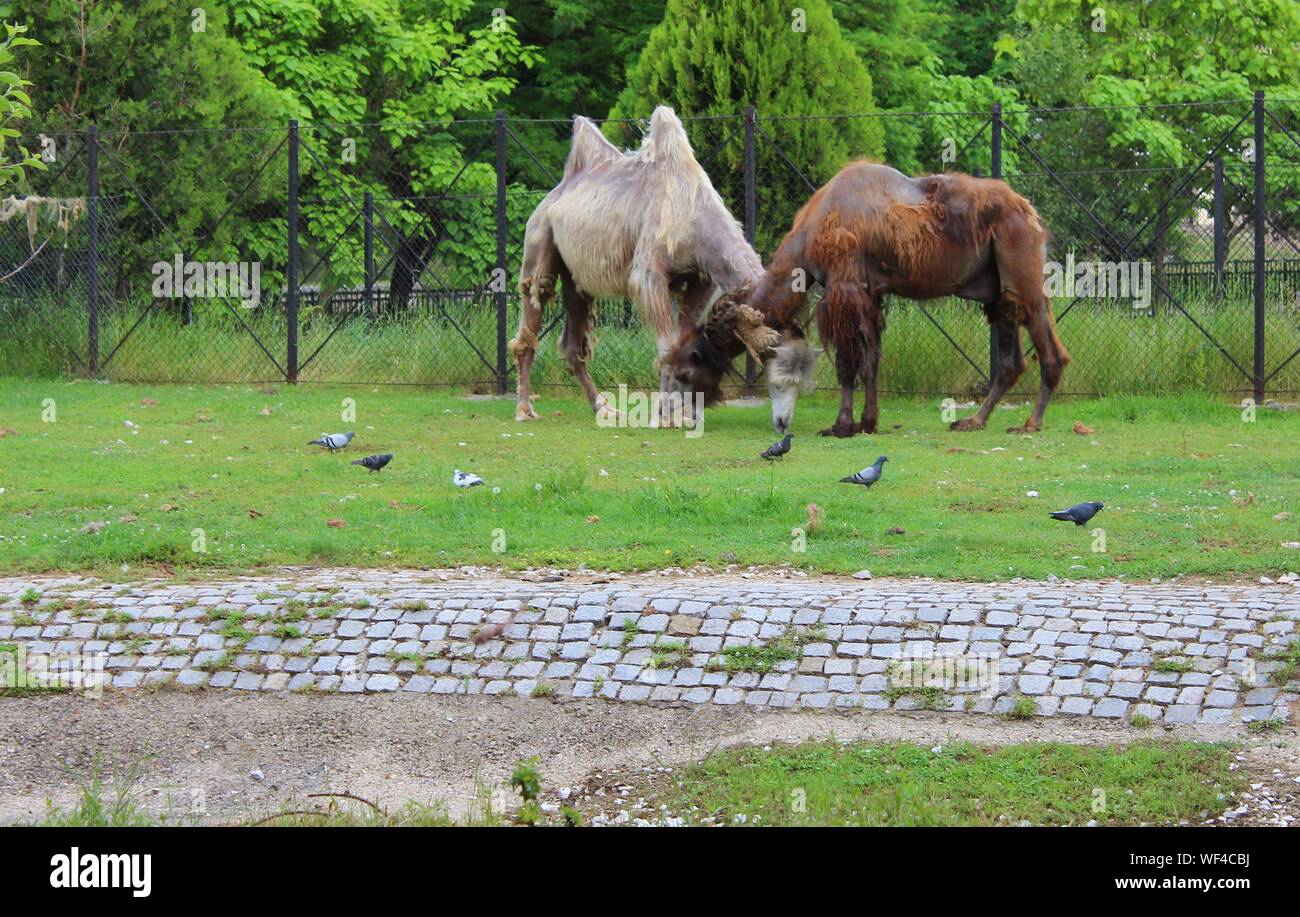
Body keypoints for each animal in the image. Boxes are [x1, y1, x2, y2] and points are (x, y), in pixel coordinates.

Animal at [509, 106, 797, 424]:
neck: (695, 213)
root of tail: (555, 194)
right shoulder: (650, 275)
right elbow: (668, 346)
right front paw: (661, 417)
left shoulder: (701, 279)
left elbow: (682, 339)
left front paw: (677, 416)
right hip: (540, 237)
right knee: (533, 308)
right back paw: (524, 410)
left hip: (577, 278)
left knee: (573, 343)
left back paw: (604, 408)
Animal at [667, 161, 1069, 435]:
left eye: (685, 370)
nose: (683, 410)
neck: (811, 234)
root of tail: (1030, 214)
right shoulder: (872, 293)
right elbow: (871, 359)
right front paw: (868, 421)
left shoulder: (843, 287)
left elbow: (847, 364)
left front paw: (841, 425)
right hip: (997, 291)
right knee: (1011, 361)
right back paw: (973, 420)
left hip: (1021, 269)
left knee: (1050, 351)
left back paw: (1030, 423)